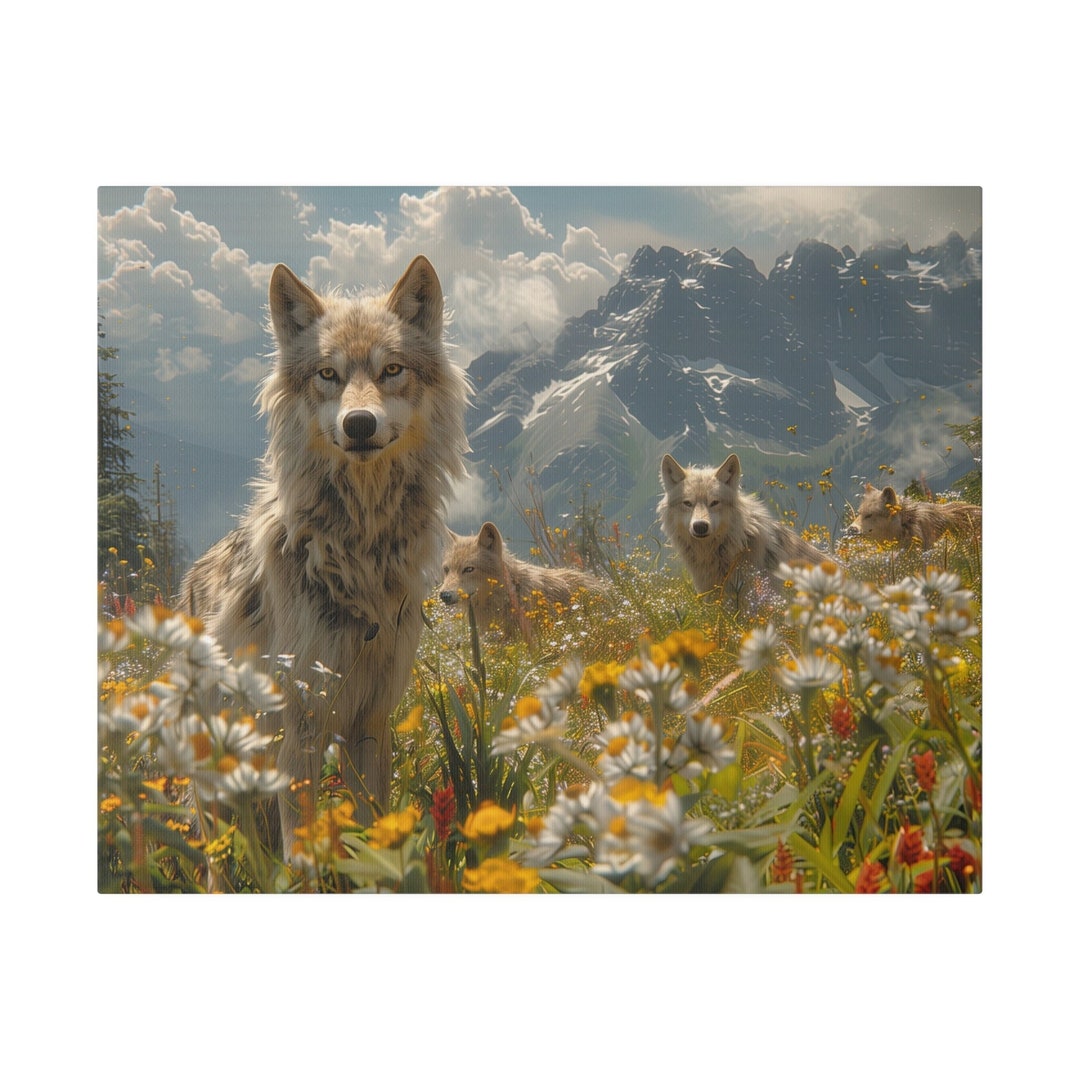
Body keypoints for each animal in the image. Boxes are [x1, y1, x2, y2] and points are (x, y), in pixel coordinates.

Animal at [180, 256, 469, 847]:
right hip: (217, 789)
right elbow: (301, 852)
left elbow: (377, 826)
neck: (358, 553)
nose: (359, 424)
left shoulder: (372, 723)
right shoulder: (302, 726)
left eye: (391, 370)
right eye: (328, 375)